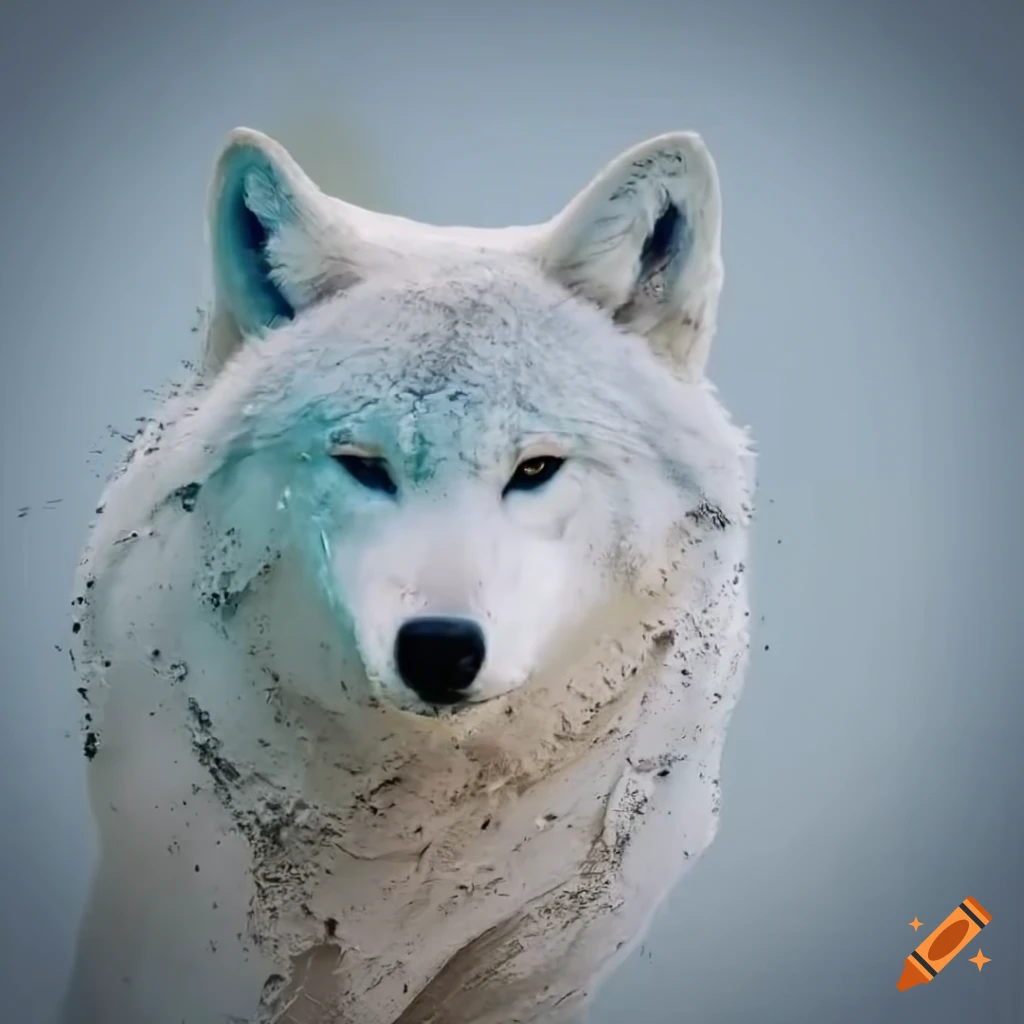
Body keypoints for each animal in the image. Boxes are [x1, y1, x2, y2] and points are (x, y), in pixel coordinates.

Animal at [61, 125, 754, 1024]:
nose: (438, 648)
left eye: (535, 468)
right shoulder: (190, 932)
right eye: (363, 464)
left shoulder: (533, 970)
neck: (422, 830)